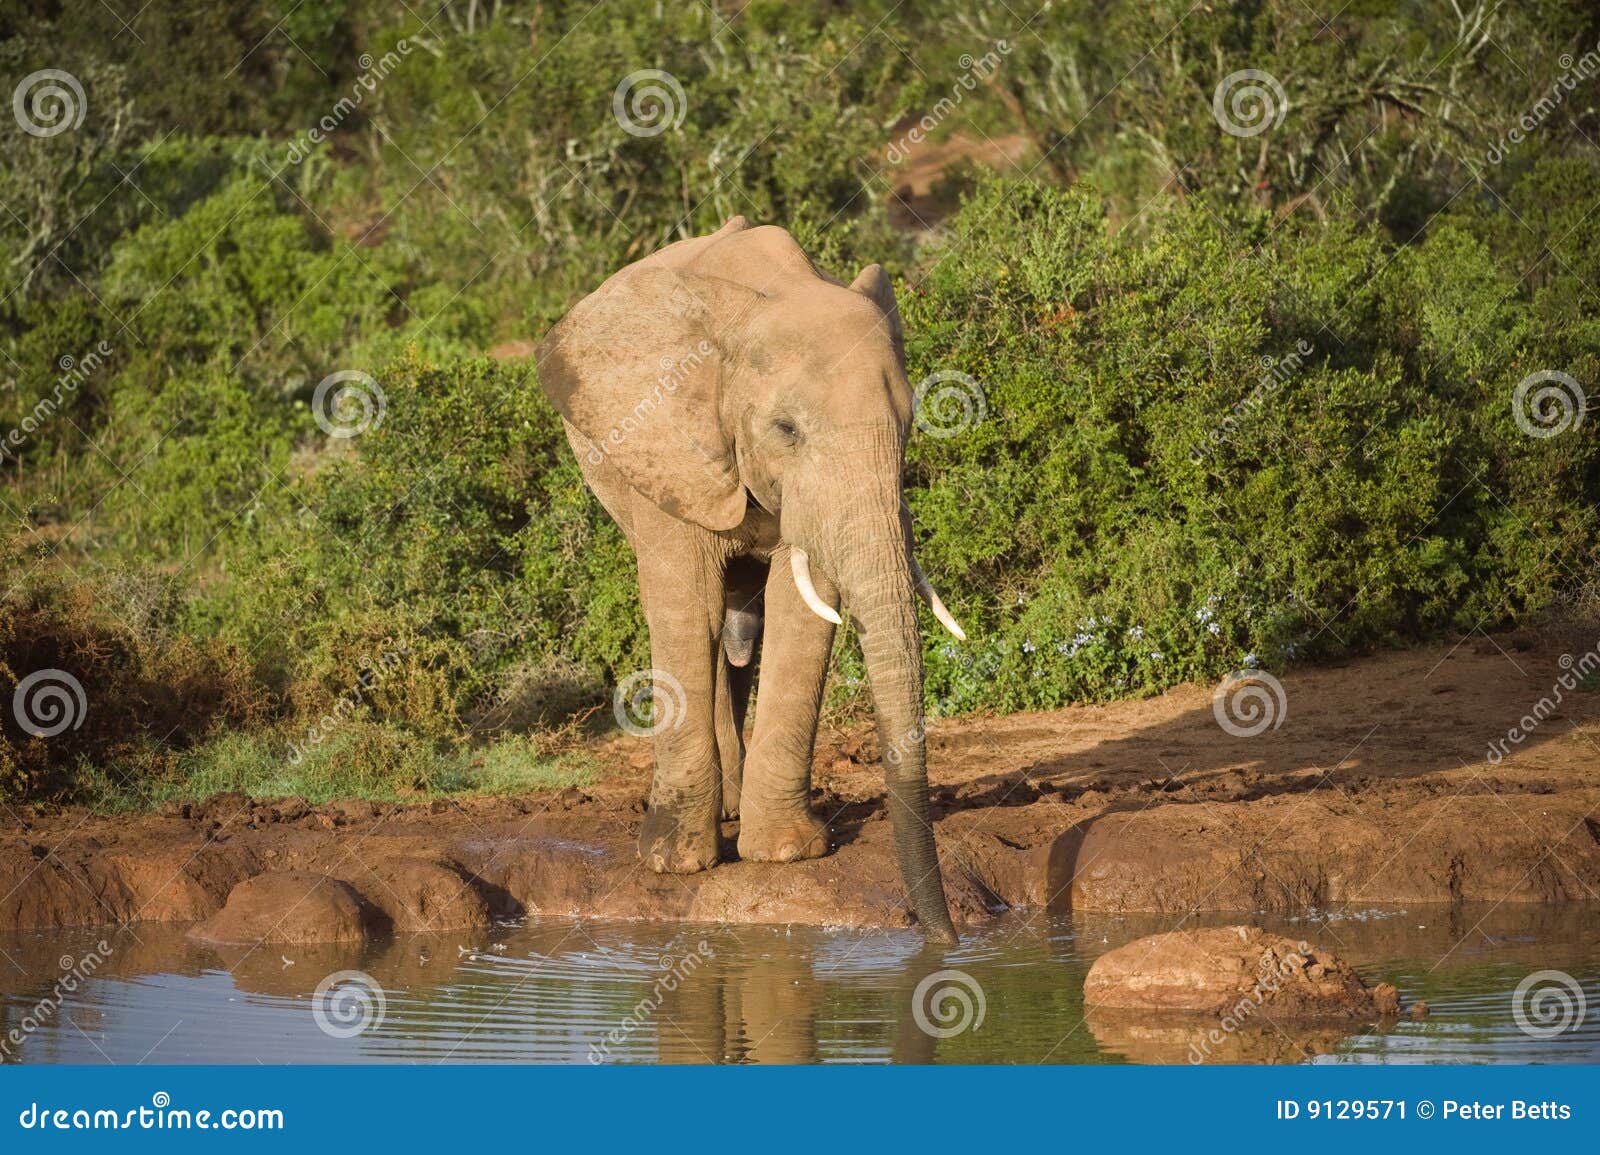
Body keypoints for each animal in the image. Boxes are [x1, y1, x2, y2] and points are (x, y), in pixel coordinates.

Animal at [536, 216, 966, 943]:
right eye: (785, 429)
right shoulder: (668, 440)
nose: (946, 939)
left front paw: (785, 853)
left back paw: (734, 811)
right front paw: (676, 864)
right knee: (710, 622)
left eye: (909, 425)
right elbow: (685, 606)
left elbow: (803, 608)